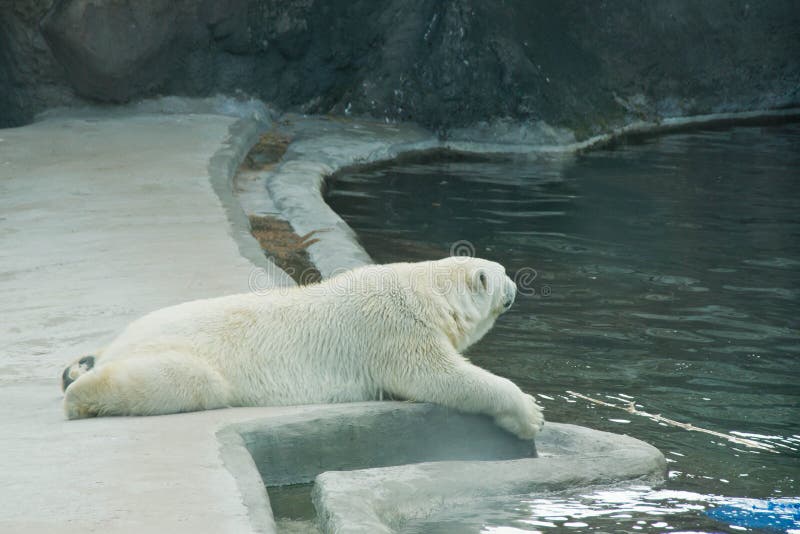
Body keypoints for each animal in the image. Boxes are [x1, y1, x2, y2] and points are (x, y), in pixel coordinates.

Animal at [61, 257, 544, 440]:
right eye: (500, 272)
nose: (516, 286)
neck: (424, 291)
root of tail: (118, 346)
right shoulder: (394, 328)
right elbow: (441, 376)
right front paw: (530, 413)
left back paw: (78, 366)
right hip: (190, 358)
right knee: (175, 381)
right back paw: (79, 391)